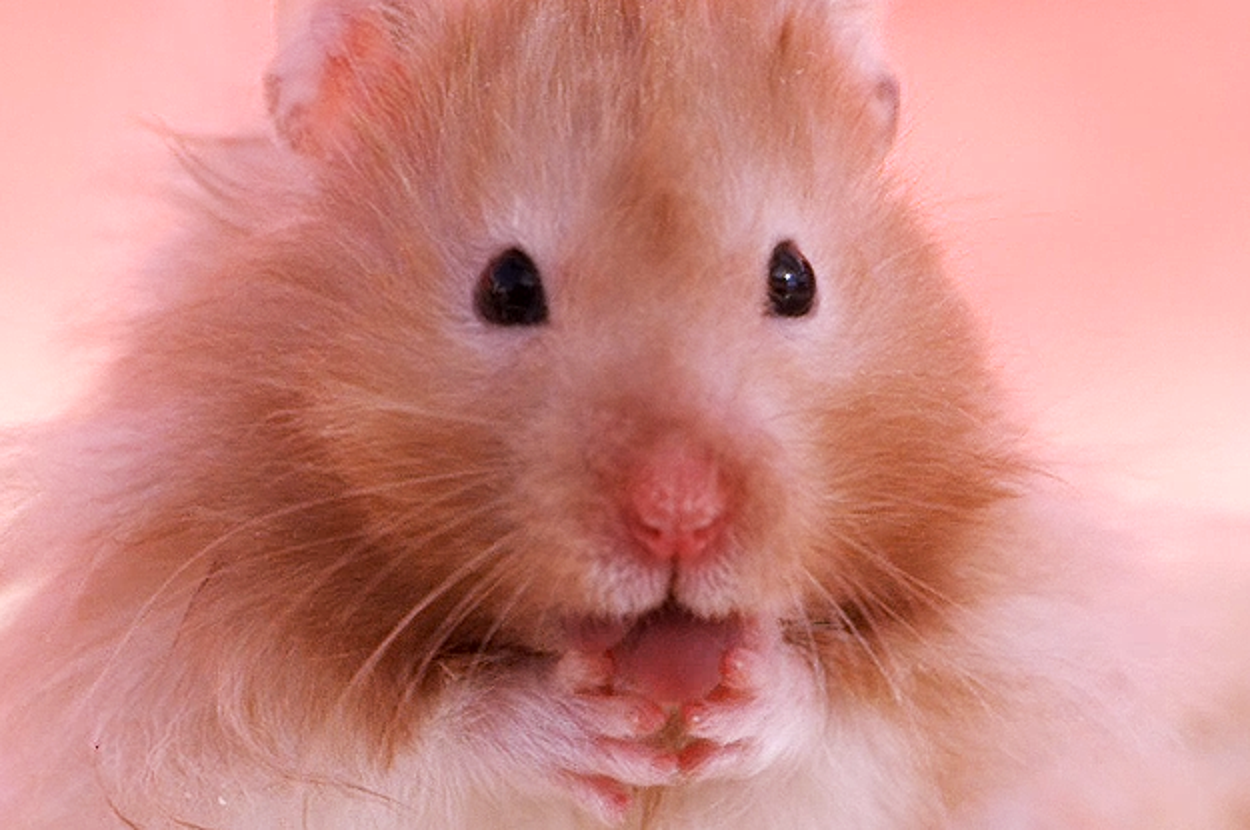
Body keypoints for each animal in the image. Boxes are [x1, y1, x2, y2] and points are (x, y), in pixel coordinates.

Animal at [1, 0, 1247, 827]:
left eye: (793, 277)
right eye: (506, 287)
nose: (678, 518)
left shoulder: (1000, 685)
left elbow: (868, 712)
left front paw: (751, 697)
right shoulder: (181, 693)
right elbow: (406, 740)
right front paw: (571, 725)